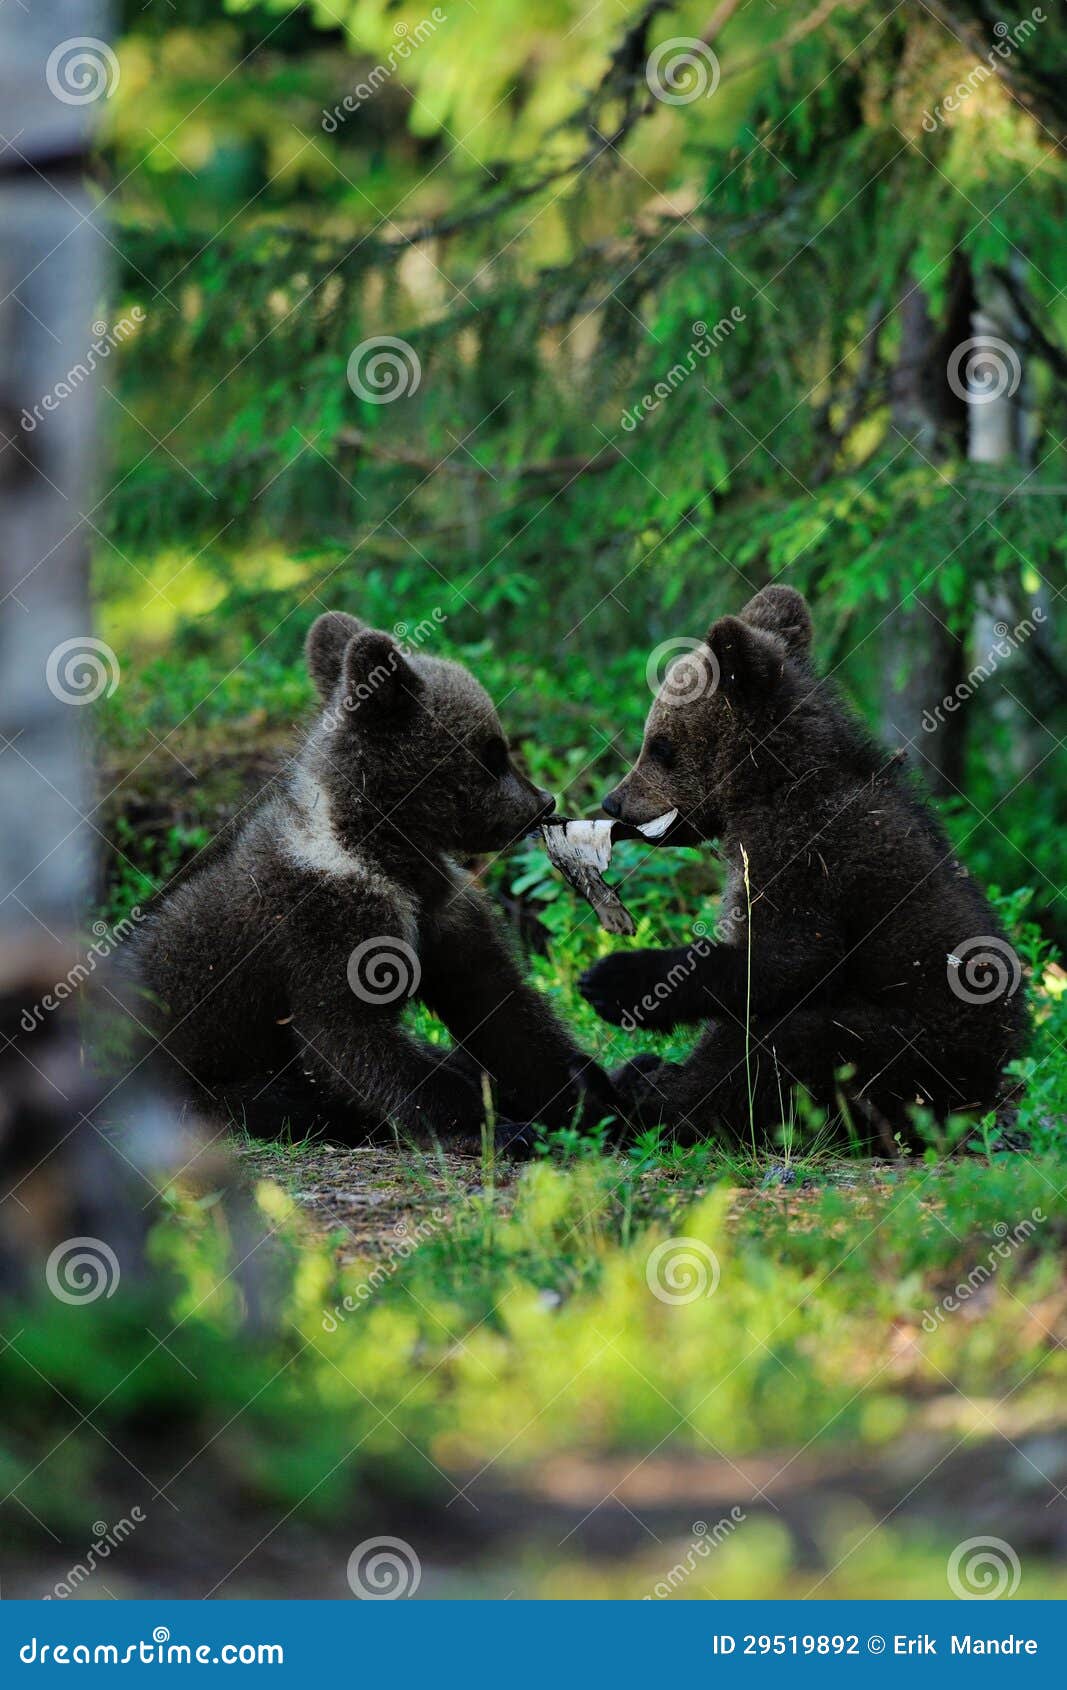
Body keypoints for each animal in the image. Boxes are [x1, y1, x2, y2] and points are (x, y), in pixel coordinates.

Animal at [133, 610, 618, 1152]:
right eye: (491, 754)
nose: (543, 802)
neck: (385, 848)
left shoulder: (440, 909)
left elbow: (500, 1006)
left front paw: (591, 1095)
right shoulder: (326, 924)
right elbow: (347, 1037)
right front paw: (494, 1128)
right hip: (203, 1083)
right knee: (286, 1101)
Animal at [578, 585, 1028, 1151]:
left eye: (659, 745)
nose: (614, 801)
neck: (767, 786)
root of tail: (988, 1096)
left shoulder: (808, 858)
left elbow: (786, 961)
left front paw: (617, 981)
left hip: (917, 1053)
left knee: (794, 1047)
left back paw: (641, 1106)